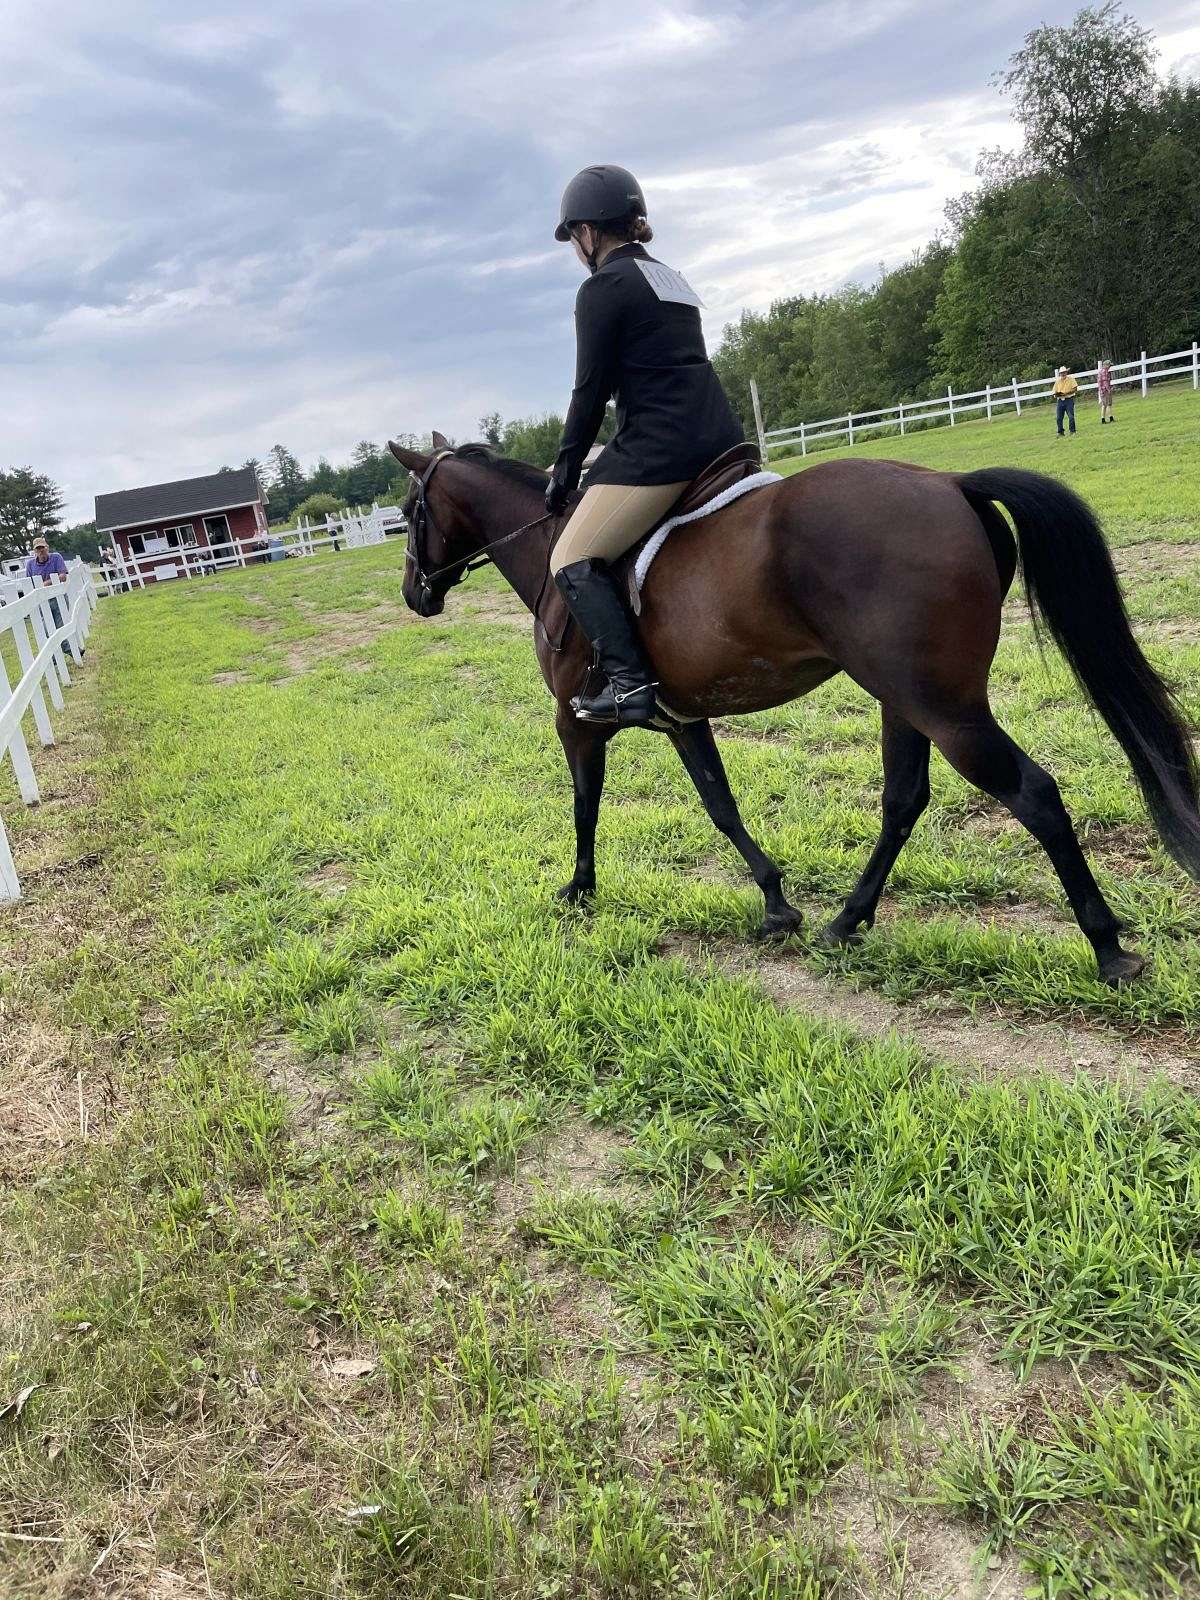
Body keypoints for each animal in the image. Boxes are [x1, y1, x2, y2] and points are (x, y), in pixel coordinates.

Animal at [387, 433, 1200, 986]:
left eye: (406, 511)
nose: (414, 593)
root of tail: (951, 483)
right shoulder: (682, 717)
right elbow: (720, 804)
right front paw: (778, 903)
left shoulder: (575, 719)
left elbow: (585, 805)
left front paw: (578, 891)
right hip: (904, 700)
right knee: (904, 799)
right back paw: (847, 919)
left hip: (945, 708)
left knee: (1033, 794)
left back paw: (1109, 949)